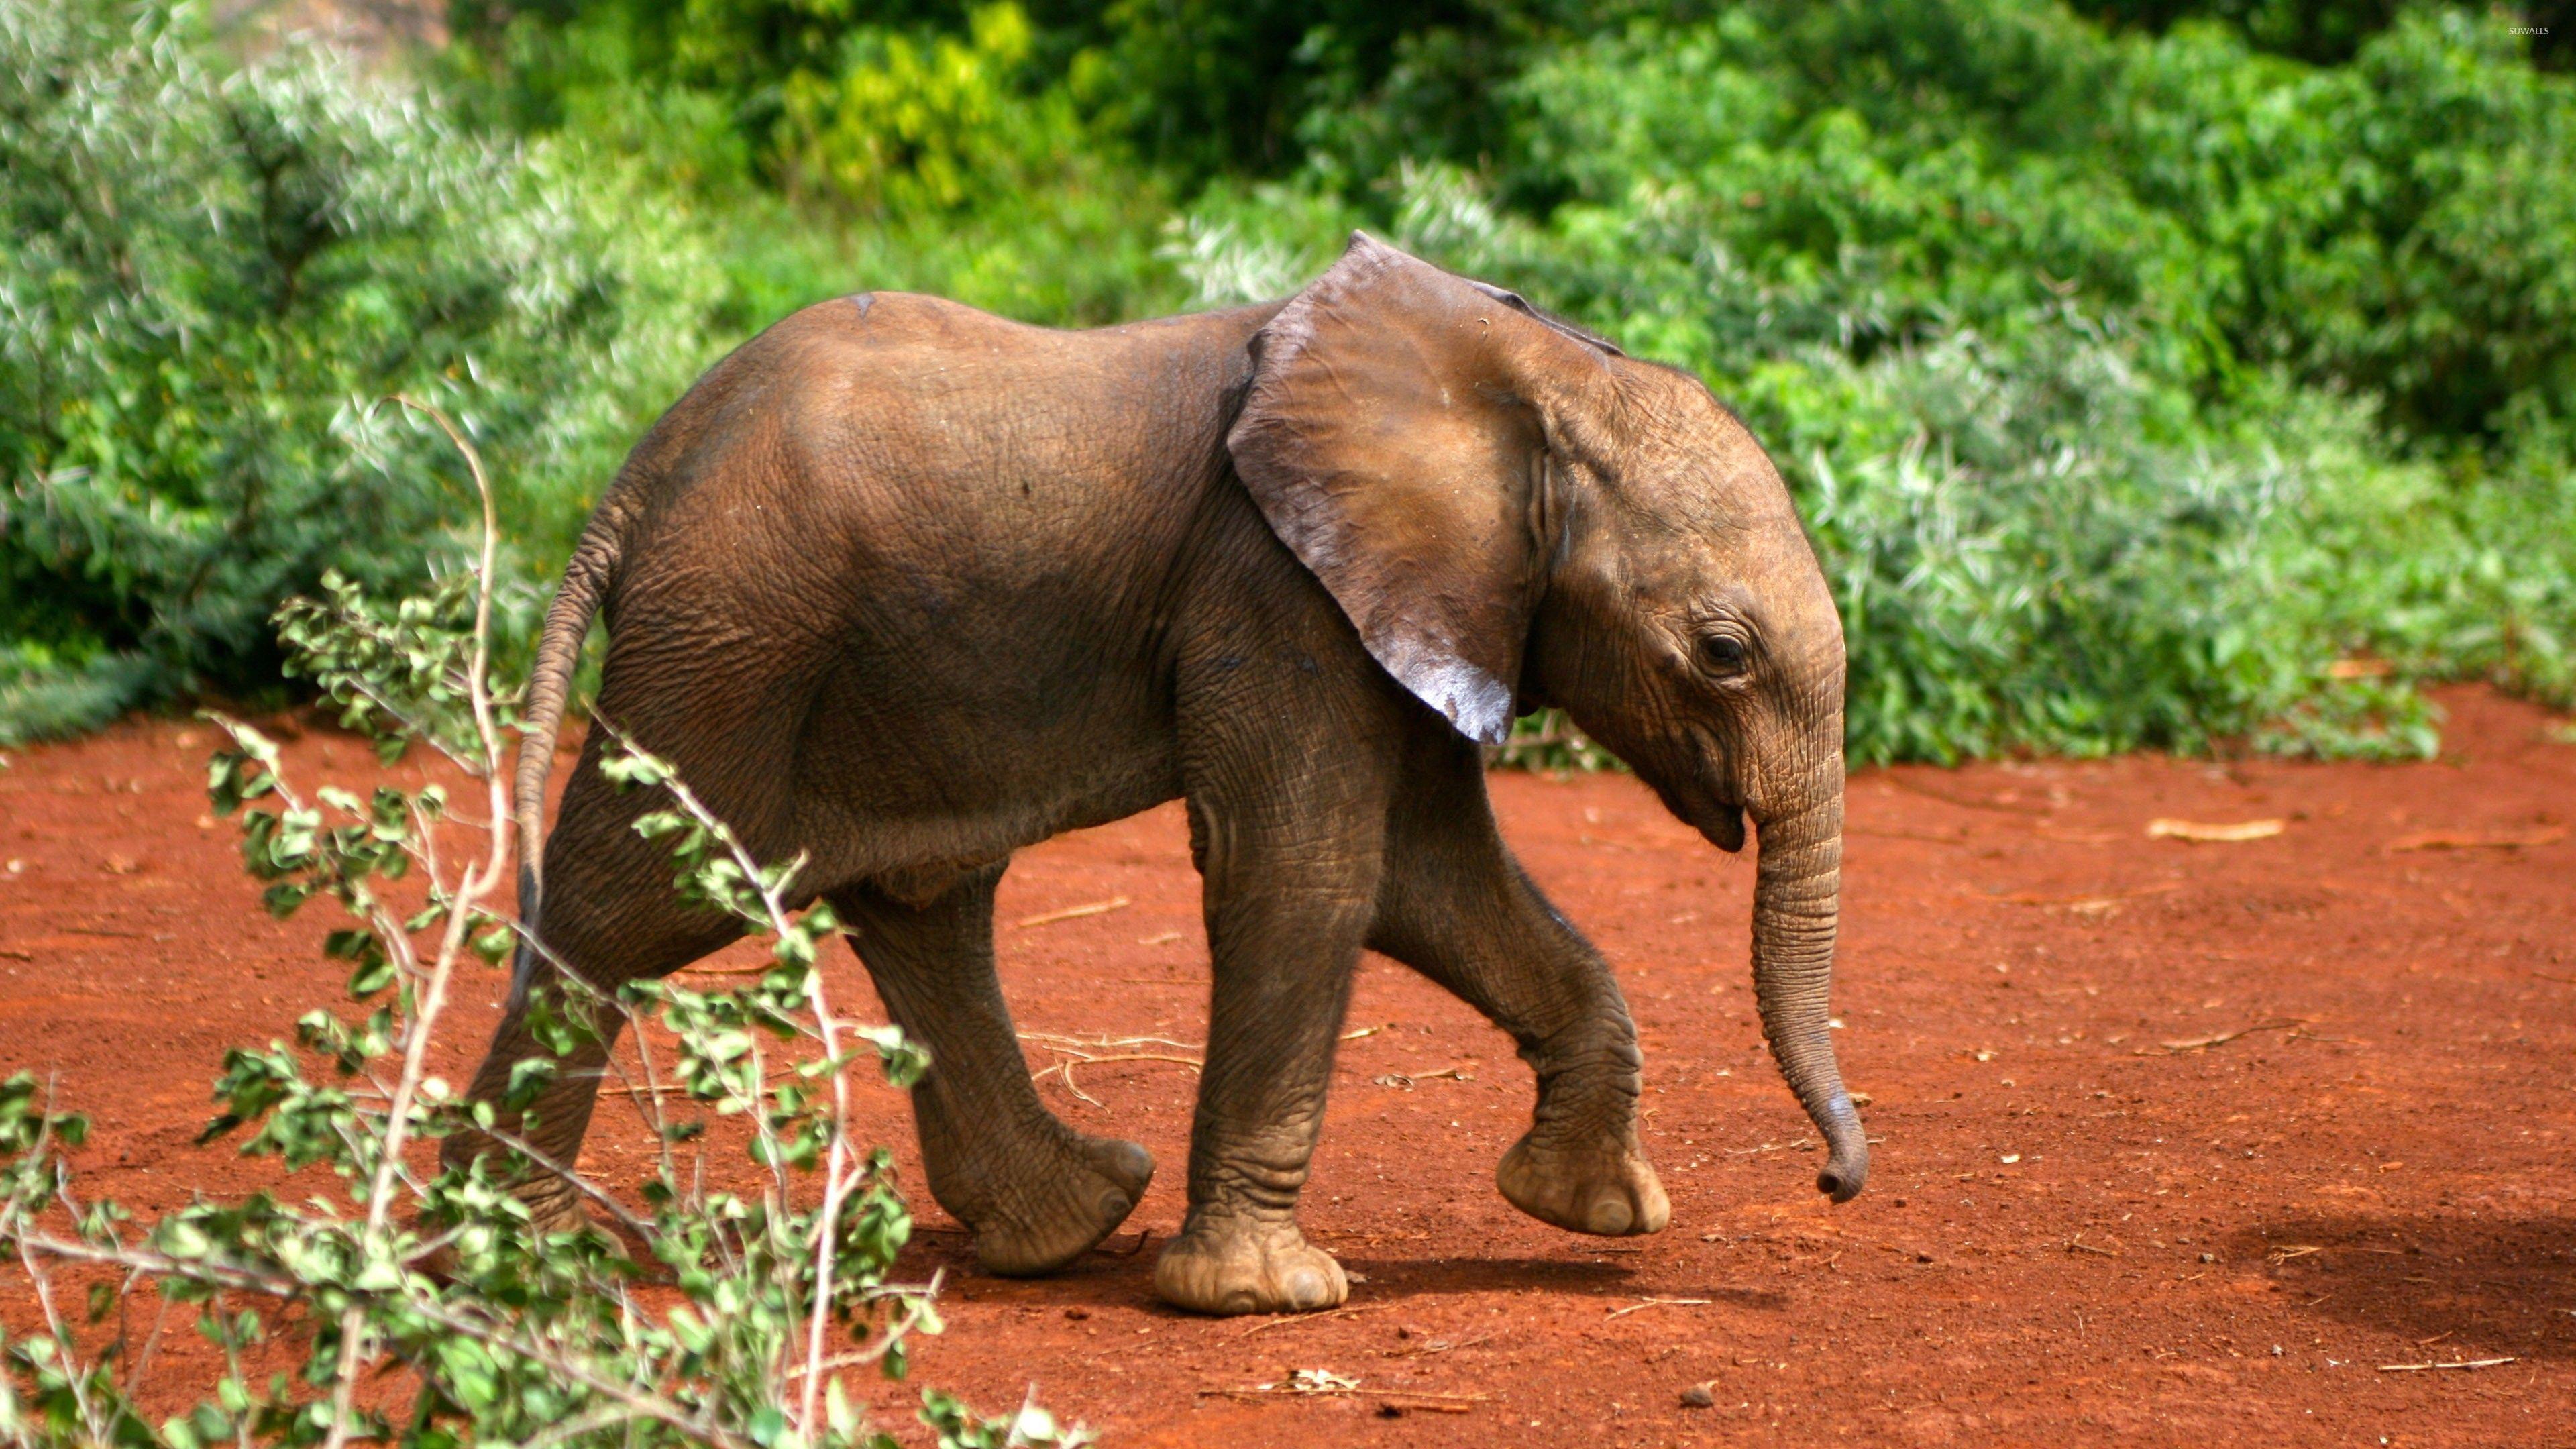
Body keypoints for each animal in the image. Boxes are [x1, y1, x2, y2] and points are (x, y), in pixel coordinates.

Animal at [448, 231, 1867, 1316]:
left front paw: (1594, 1211)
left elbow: (1430, 880)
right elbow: (1307, 872)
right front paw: (1265, 1299)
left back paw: (1069, 1224)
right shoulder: (1275, 585)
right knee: (631, 902)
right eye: (1724, 654)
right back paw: (498, 1260)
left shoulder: (1415, 595)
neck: (1532, 375)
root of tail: (639, 473)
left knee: (920, 902)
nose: (1836, 1182)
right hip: (734, 635)